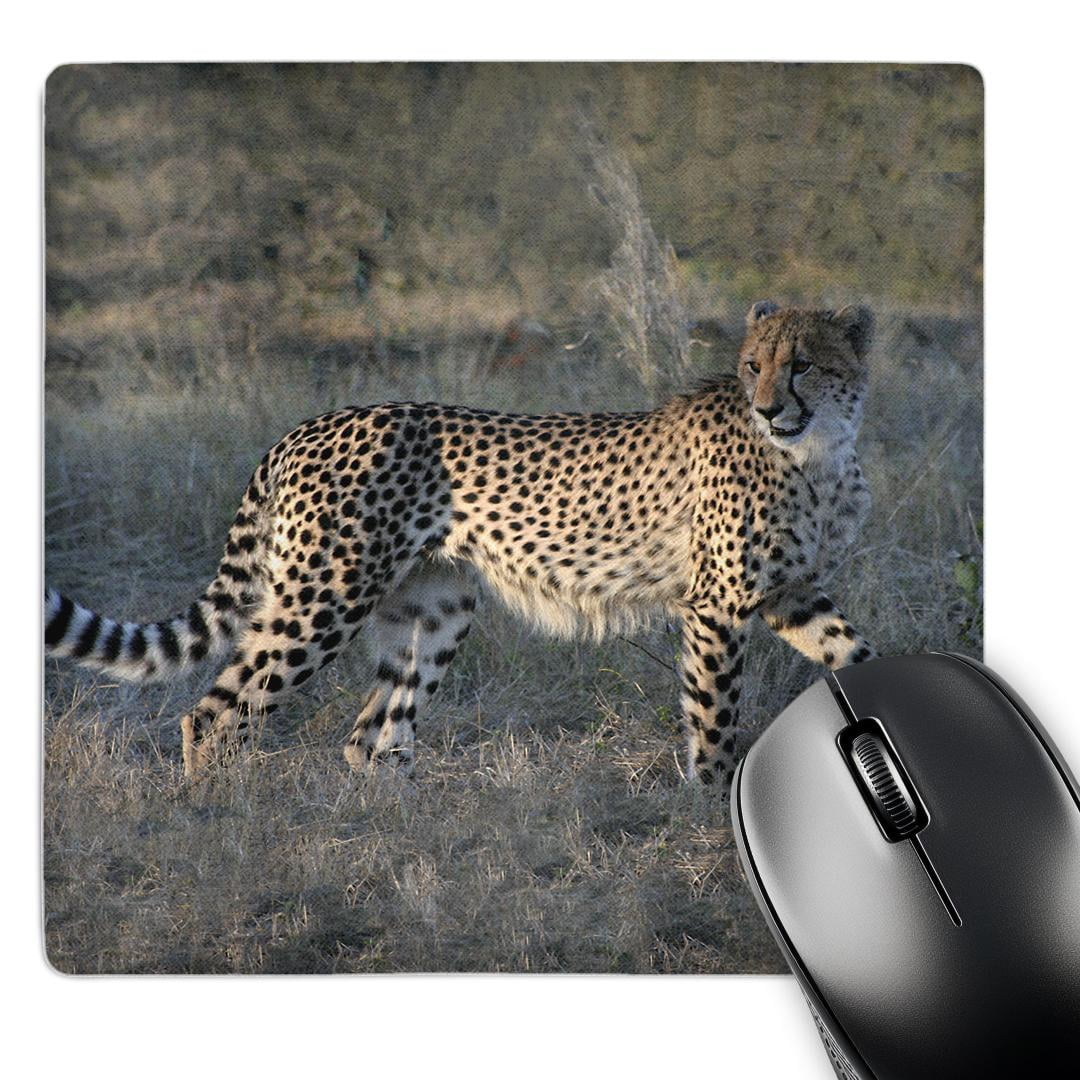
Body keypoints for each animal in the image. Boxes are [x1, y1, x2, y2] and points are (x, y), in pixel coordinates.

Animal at [44, 301, 876, 787]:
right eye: (752, 365)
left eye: (802, 364)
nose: (768, 407)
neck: (819, 450)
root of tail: (309, 424)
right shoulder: (717, 605)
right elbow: (714, 718)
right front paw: (708, 807)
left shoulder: (792, 593)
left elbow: (860, 657)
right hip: (323, 597)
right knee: (219, 711)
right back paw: (218, 820)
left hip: (436, 607)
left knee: (372, 737)